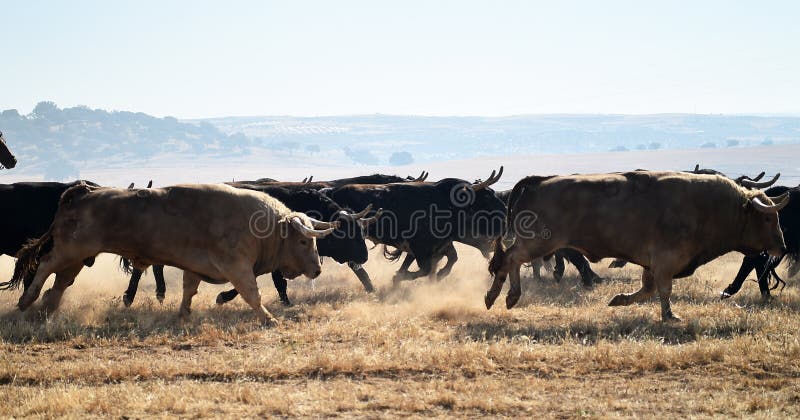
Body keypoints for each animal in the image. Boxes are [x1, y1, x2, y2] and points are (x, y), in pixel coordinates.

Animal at [6, 183, 337, 324]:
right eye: (304, 241)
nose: (317, 270)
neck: (264, 225)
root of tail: (81, 193)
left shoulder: (196, 267)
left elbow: (189, 289)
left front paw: (183, 314)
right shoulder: (238, 267)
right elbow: (251, 294)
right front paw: (270, 319)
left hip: (77, 257)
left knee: (61, 281)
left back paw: (46, 310)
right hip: (71, 249)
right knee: (45, 266)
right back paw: (27, 300)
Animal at [329, 168, 506, 283]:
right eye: (487, 197)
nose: (505, 212)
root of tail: (332, 192)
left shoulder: (441, 245)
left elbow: (452, 259)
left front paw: (439, 275)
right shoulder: (421, 248)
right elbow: (425, 269)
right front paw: (399, 277)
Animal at [486, 171, 789, 321]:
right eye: (767, 217)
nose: (782, 247)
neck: (708, 206)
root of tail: (537, 181)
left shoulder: (651, 263)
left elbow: (647, 290)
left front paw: (619, 299)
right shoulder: (666, 259)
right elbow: (664, 290)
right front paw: (670, 315)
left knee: (507, 259)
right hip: (539, 242)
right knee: (510, 259)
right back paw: (503, 295)